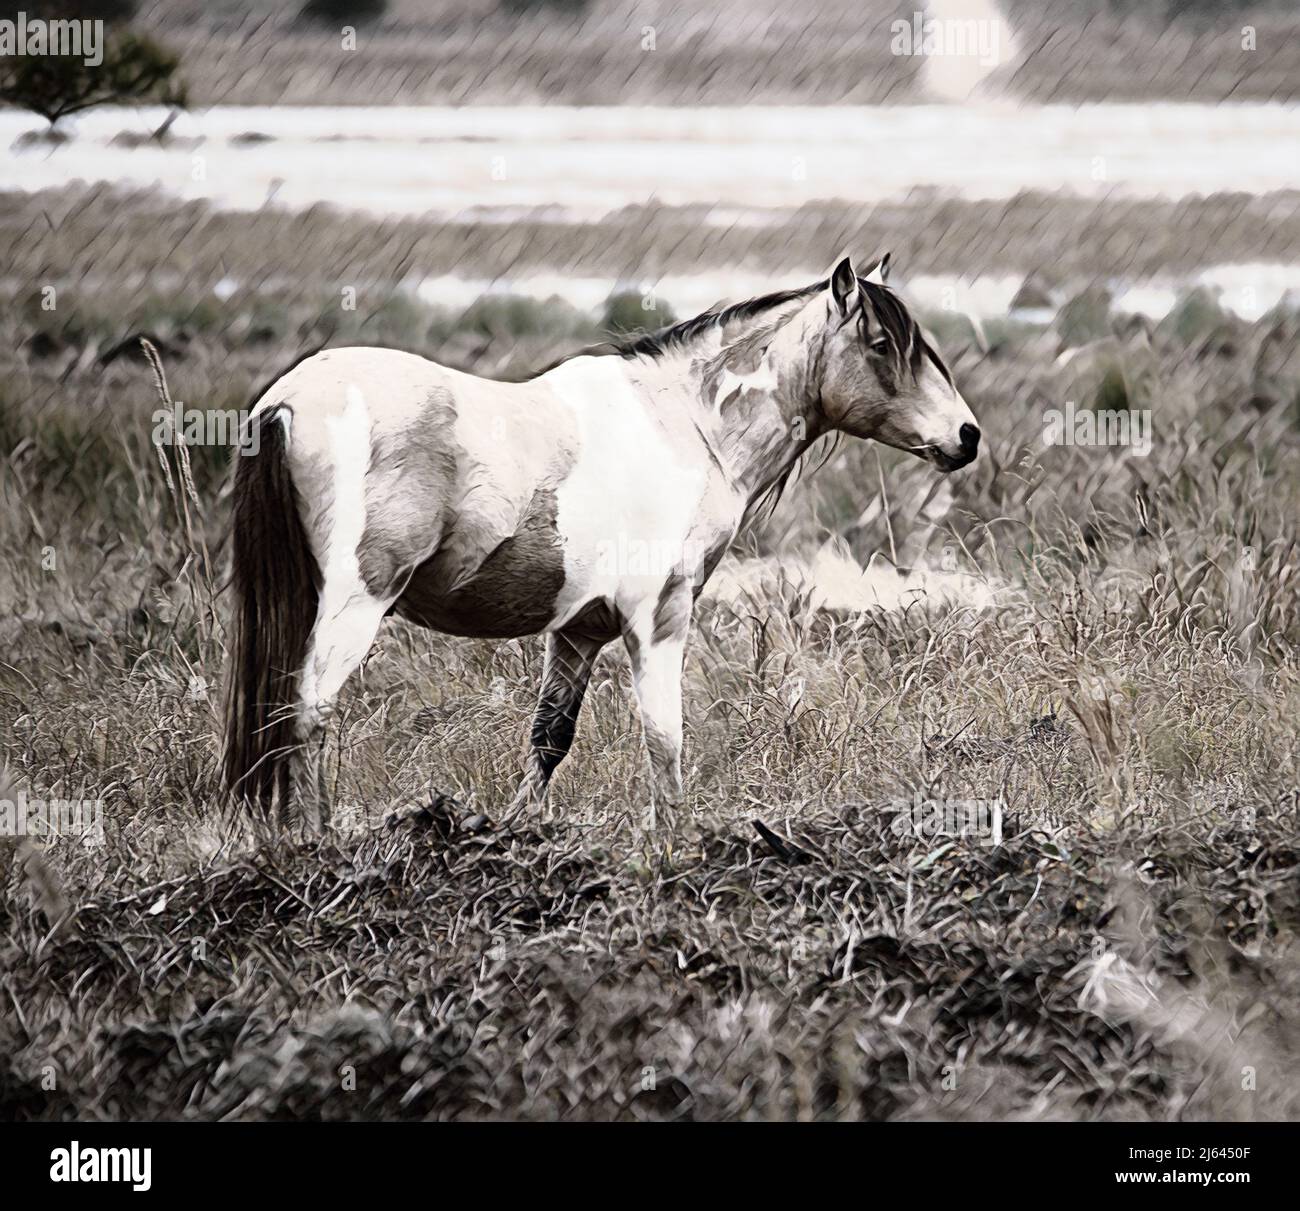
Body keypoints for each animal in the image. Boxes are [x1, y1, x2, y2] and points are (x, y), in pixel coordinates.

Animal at [221, 253, 981, 833]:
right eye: (882, 345)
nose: (967, 436)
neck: (685, 425)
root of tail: (284, 400)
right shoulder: (660, 618)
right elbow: (664, 738)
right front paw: (673, 841)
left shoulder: (579, 631)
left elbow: (549, 738)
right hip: (353, 607)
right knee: (308, 712)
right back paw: (317, 835)